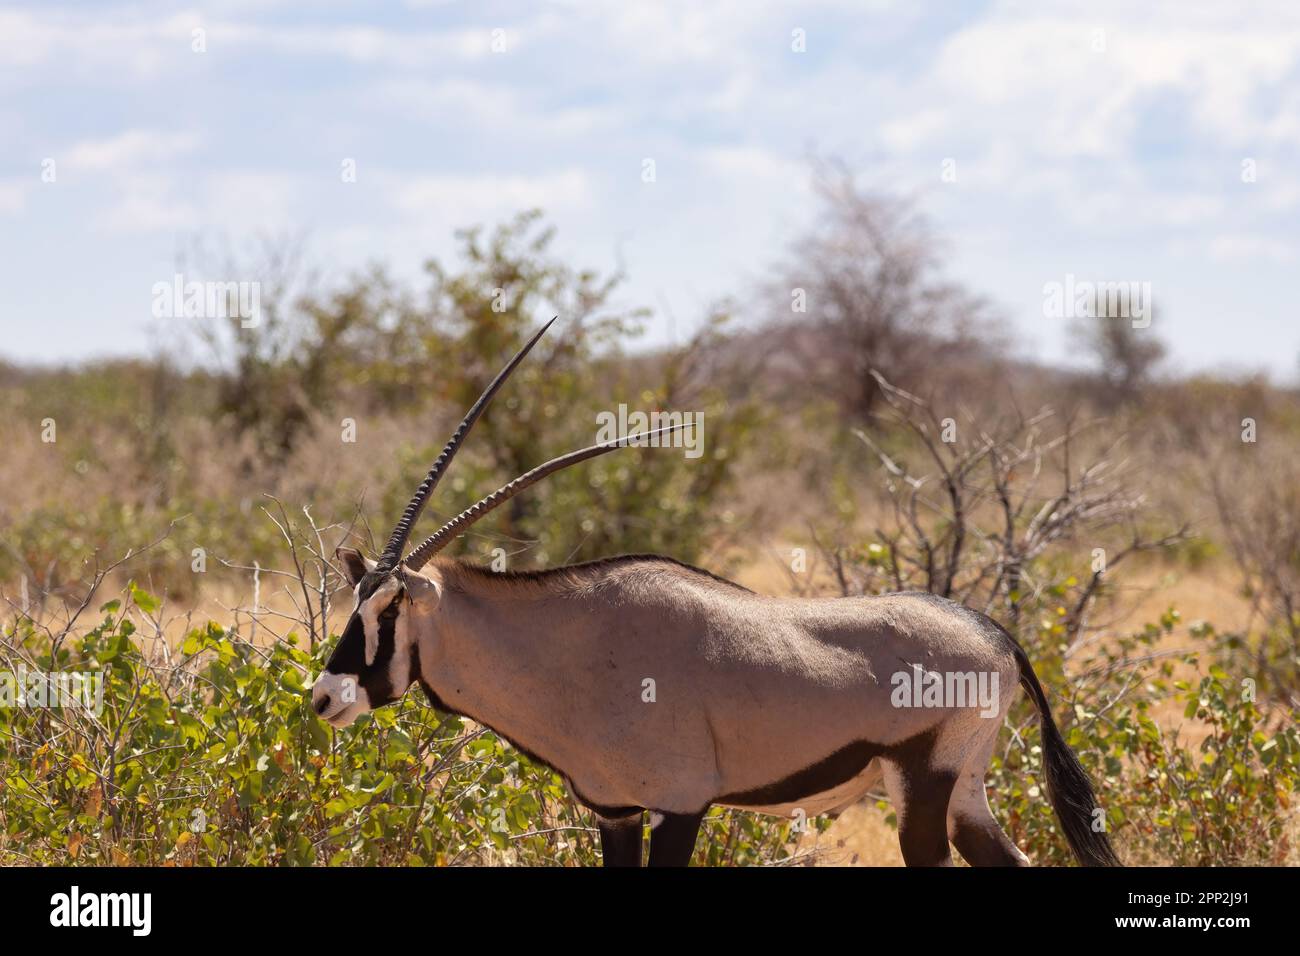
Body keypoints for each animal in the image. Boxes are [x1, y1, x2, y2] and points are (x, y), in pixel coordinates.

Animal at [310, 318, 1120, 868]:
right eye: (356, 601)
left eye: (390, 608)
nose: (324, 697)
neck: (574, 642)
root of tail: (995, 634)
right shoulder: (616, 812)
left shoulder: (679, 806)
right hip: (964, 791)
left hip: (924, 783)